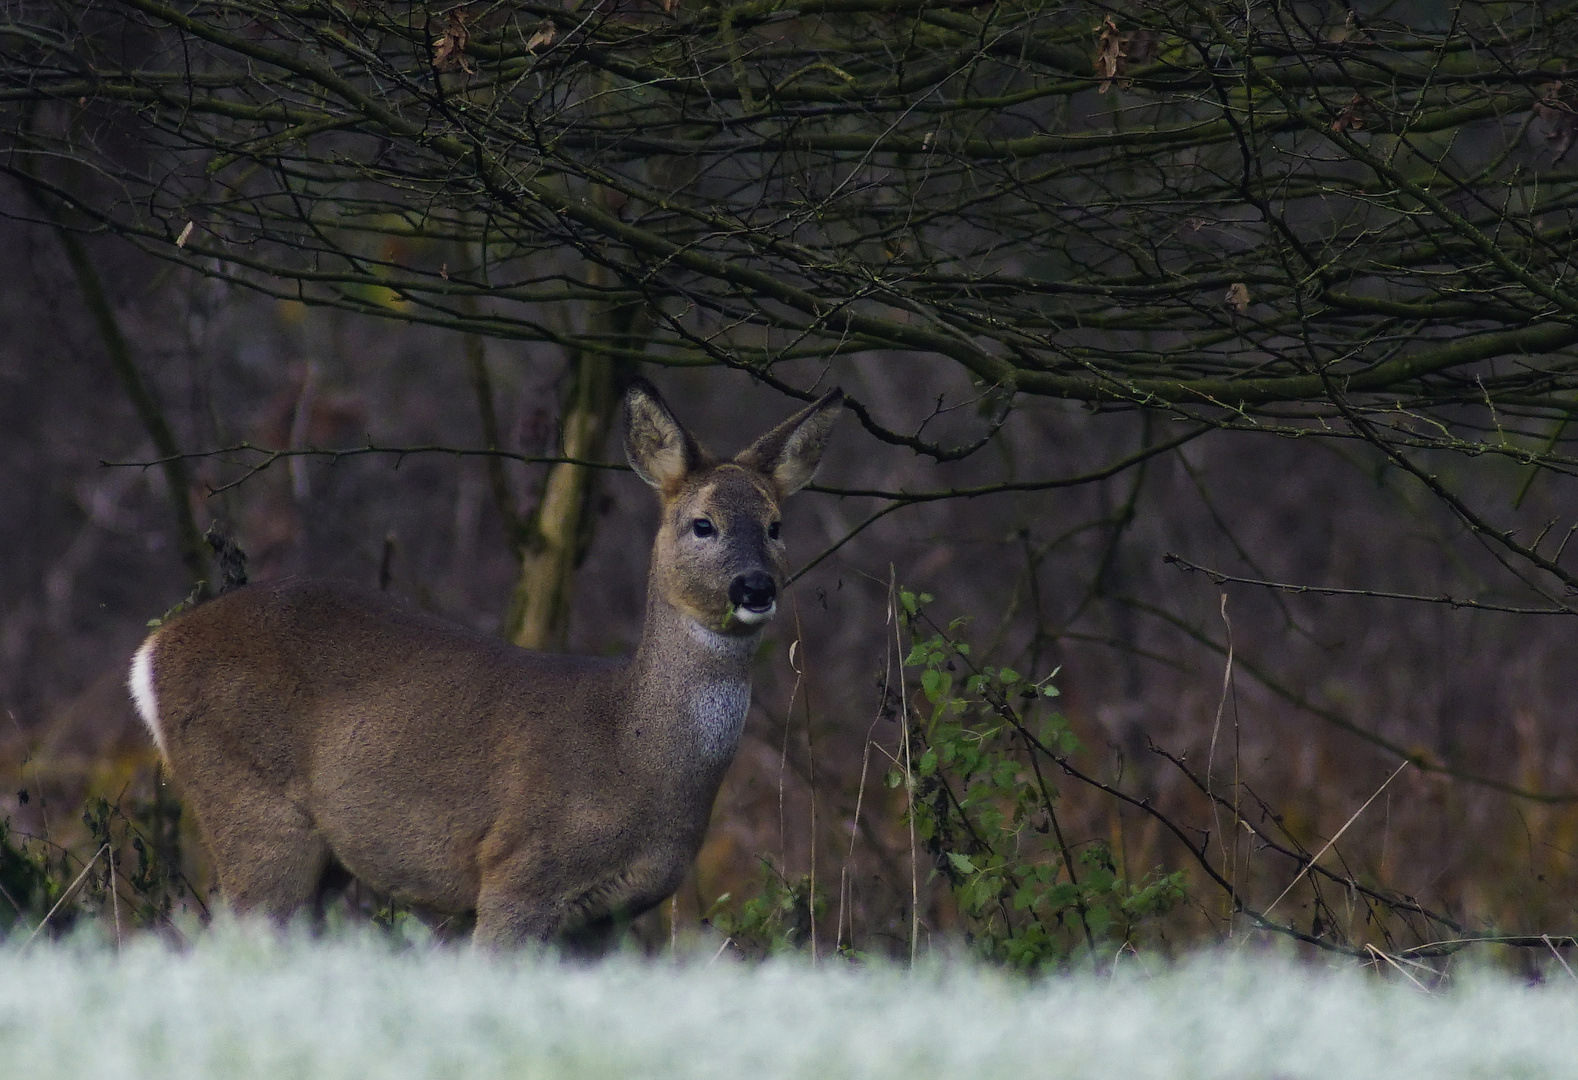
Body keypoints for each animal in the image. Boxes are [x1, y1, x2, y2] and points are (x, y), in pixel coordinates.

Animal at [126, 378, 843, 949]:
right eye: (702, 524)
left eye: (776, 525)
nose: (754, 587)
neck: (629, 747)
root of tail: (151, 654)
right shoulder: (518, 873)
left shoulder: (609, 915)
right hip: (256, 813)